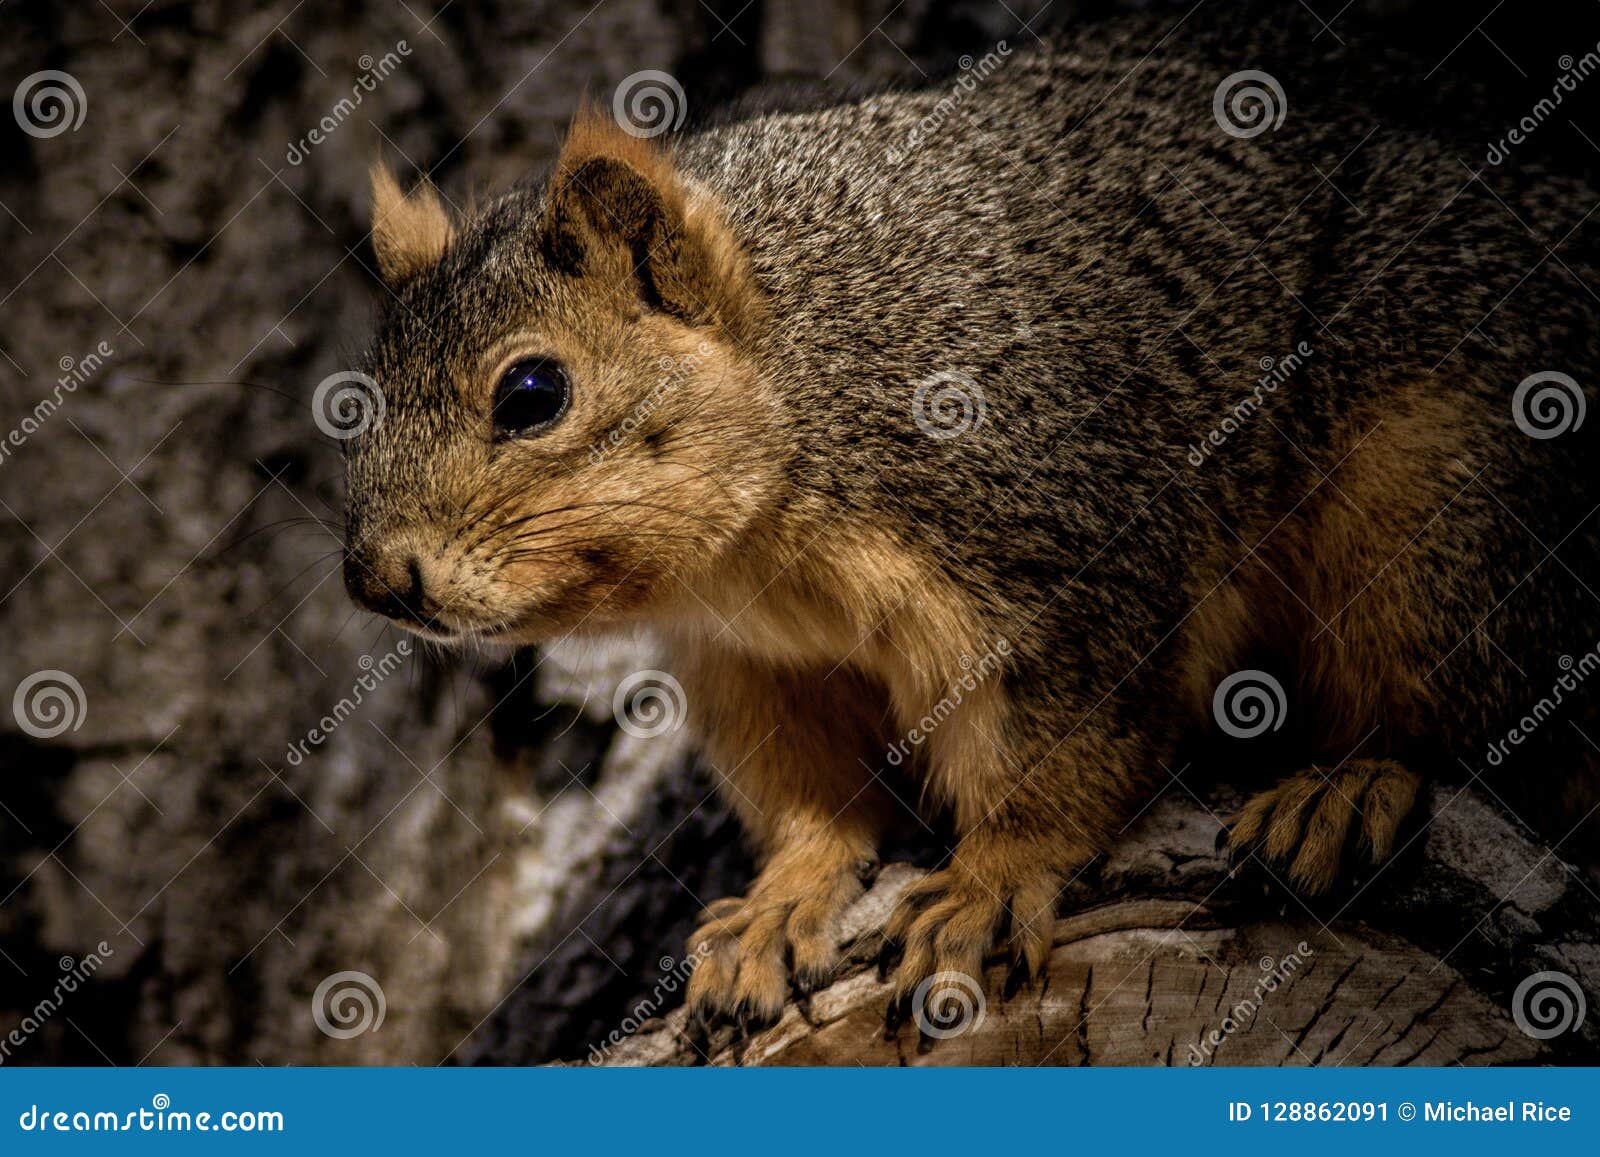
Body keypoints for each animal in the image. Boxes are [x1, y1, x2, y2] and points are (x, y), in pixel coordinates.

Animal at [339, 8, 1600, 1043]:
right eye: (366, 391)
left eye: (532, 392)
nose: (375, 579)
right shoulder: (755, 666)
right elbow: (812, 799)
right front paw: (778, 903)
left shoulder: (1059, 557)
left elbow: (1060, 755)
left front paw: (990, 879)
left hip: (1431, 487)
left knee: (1444, 700)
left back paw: (1345, 784)